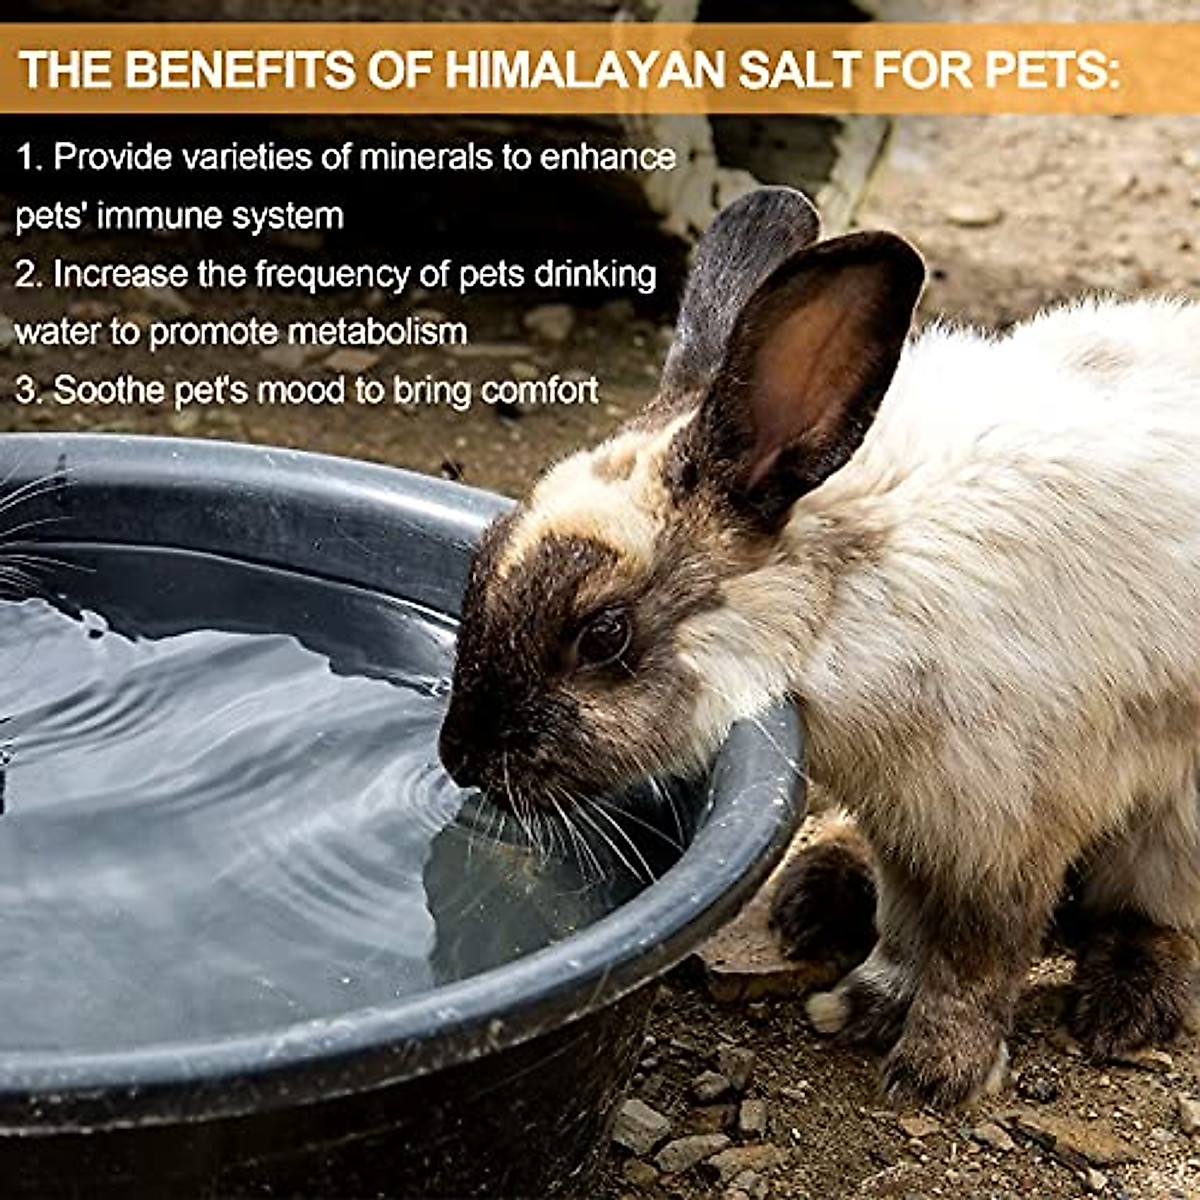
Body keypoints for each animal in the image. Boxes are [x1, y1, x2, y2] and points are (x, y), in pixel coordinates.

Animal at [439, 186, 1200, 1106]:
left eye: (603, 634)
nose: (459, 757)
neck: (842, 597)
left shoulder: (1006, 828)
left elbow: (975, 958)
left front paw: (935, 1073)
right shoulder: (909, 826)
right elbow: (906, 927)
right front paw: (863, 1005)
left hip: (1177, 821)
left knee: (1153, 915)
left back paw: (1126, 1006)